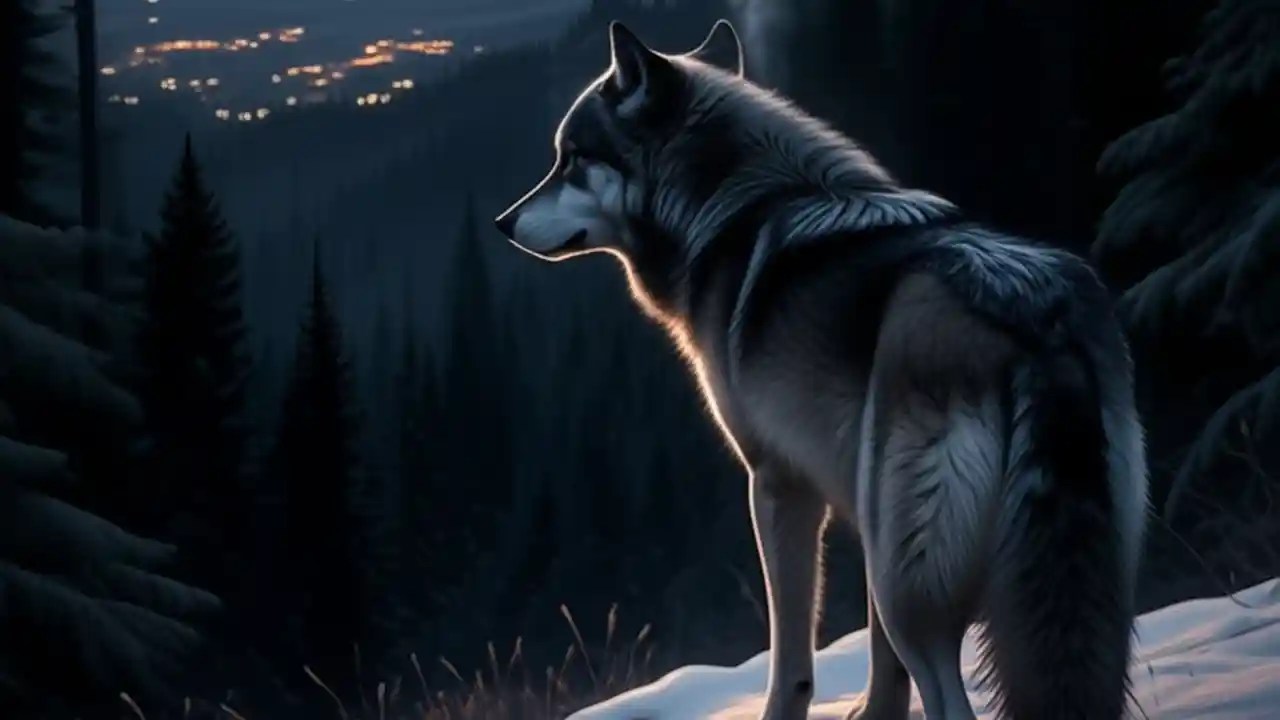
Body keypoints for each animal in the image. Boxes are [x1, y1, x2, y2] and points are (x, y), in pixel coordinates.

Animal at [495, 19, 1148, 720]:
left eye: (569, 158)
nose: (503, 223)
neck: (727, 212)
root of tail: (1033, 321)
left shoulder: (778, 485)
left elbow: (790, 658)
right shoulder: (863, 514)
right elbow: (881, 664)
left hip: (912, 594)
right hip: (1049, 582)